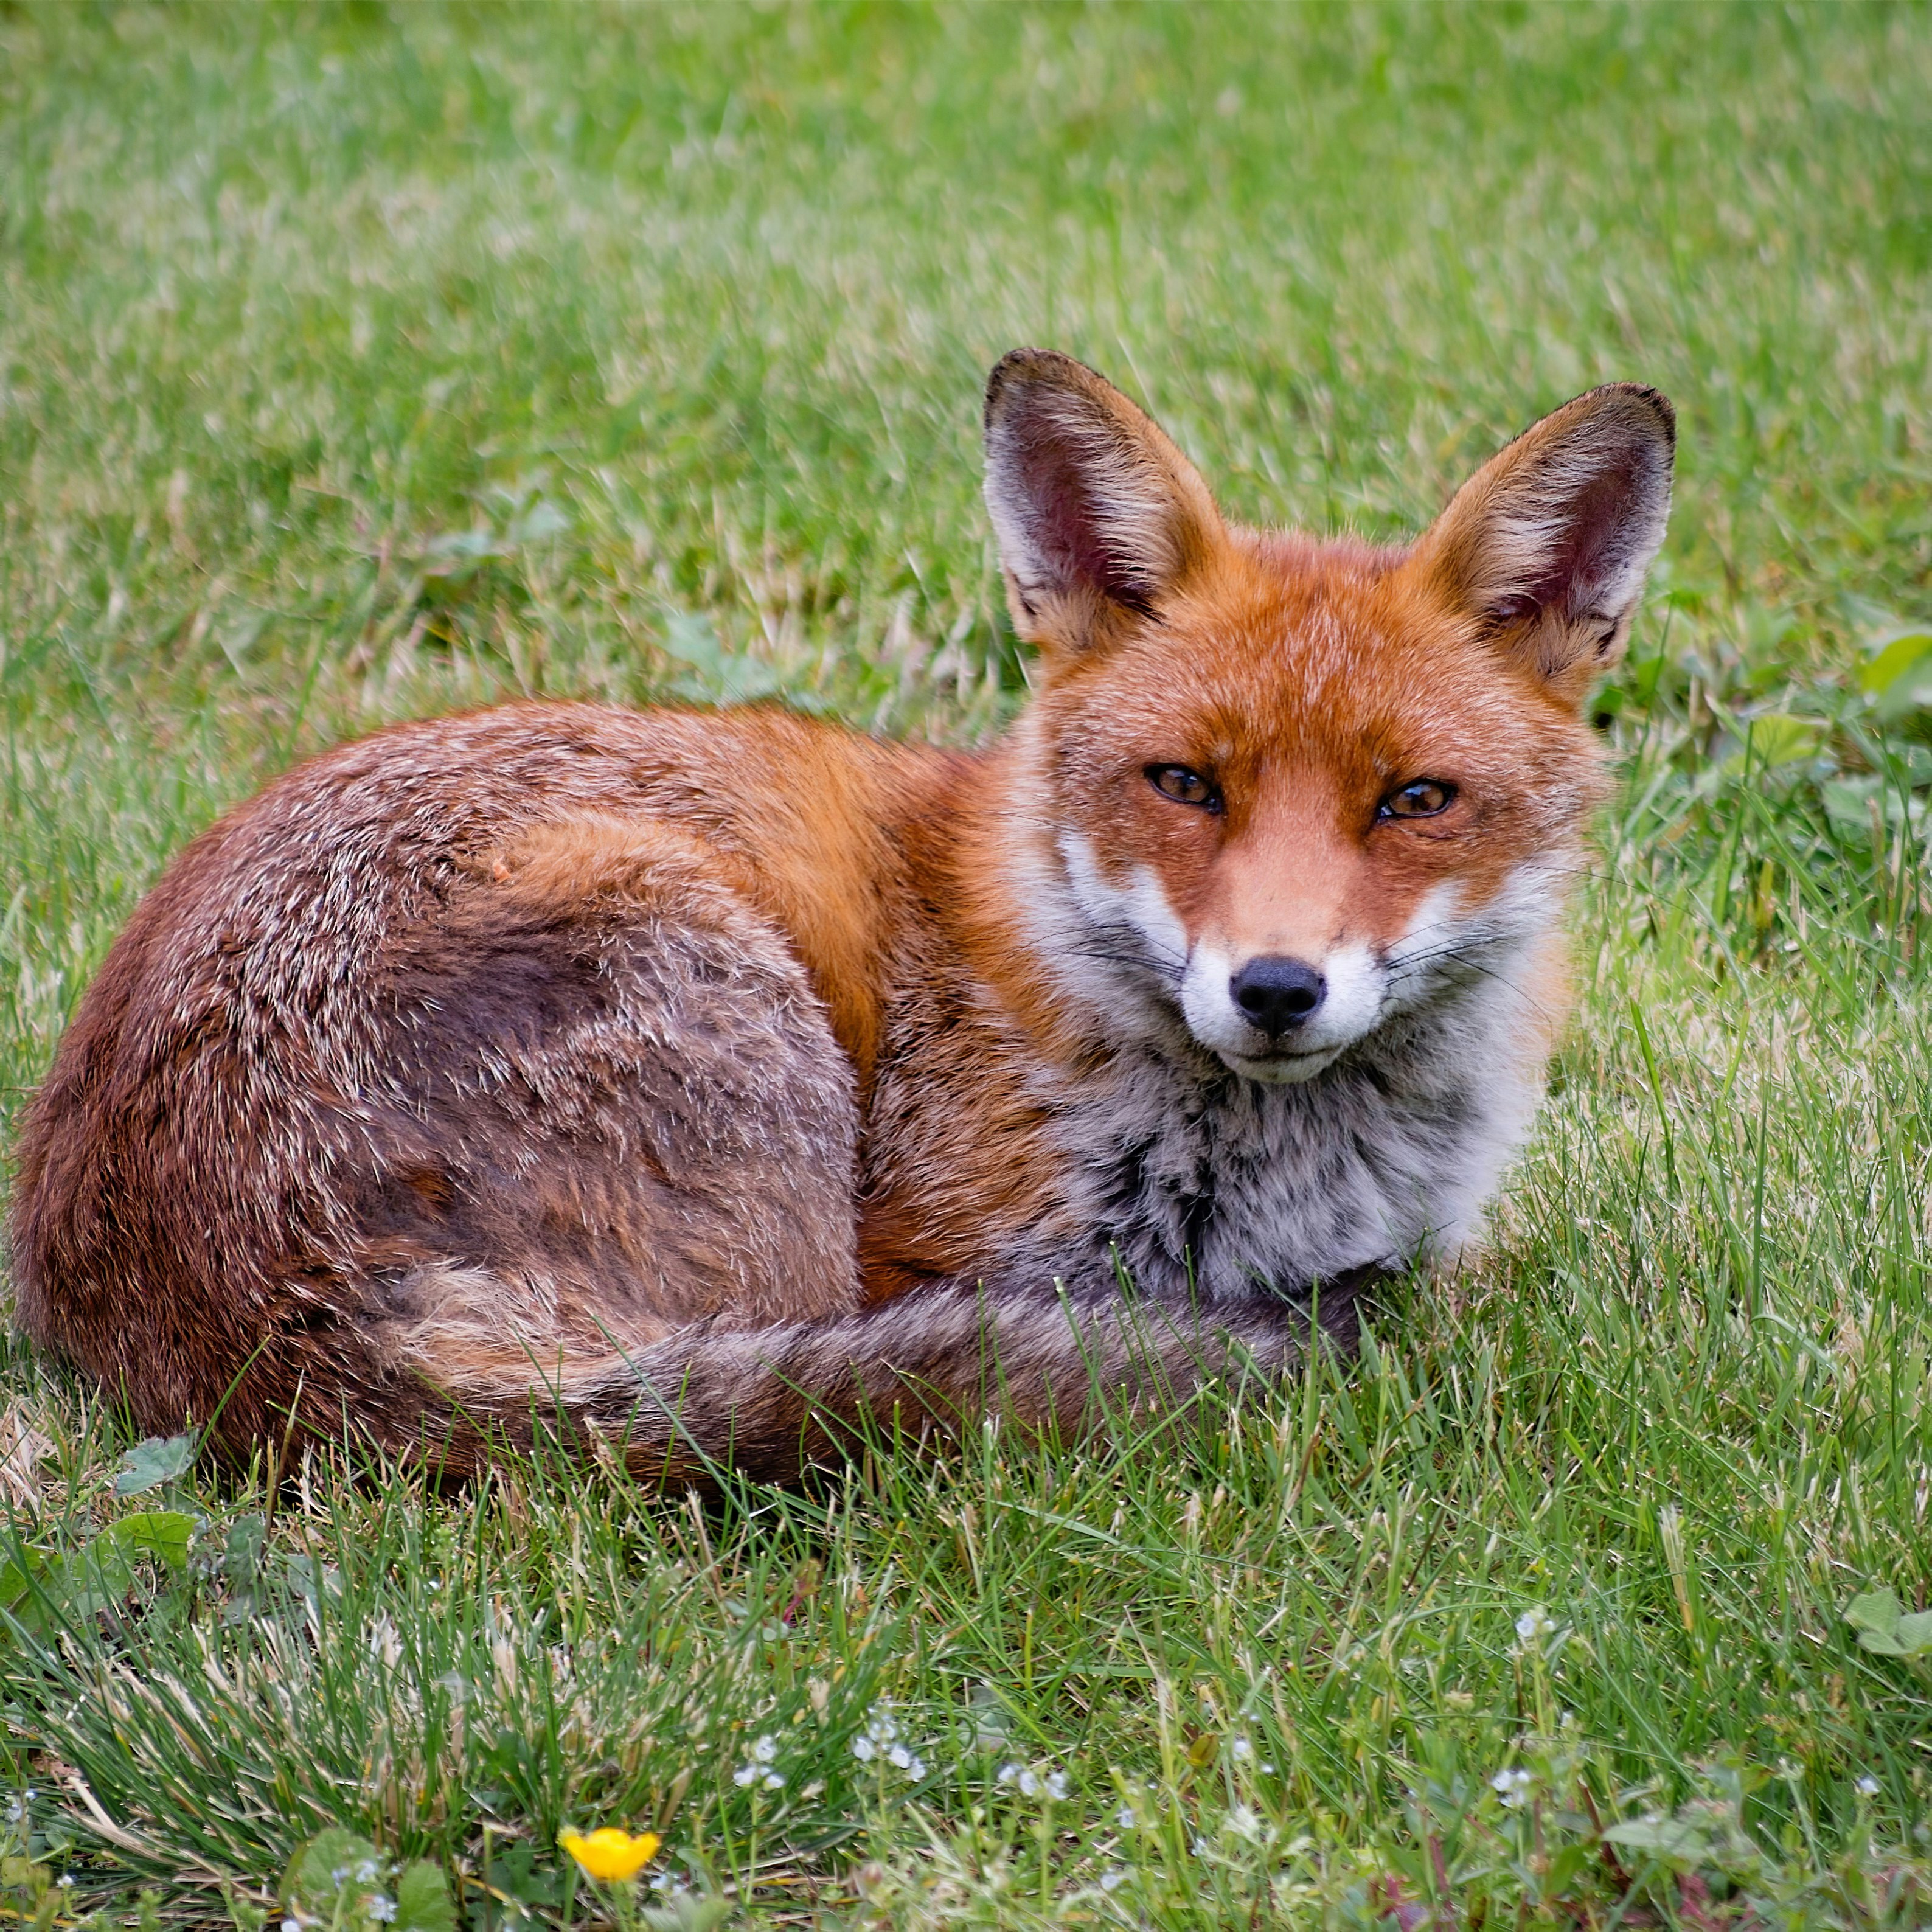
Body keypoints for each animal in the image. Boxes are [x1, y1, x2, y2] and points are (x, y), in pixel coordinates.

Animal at [7, 350, 1673, 1484]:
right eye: (1184, 784)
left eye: (1413, 800)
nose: (1273, 987)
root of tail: (255, 1316)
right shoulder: (919, 1254)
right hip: (737, 1076)